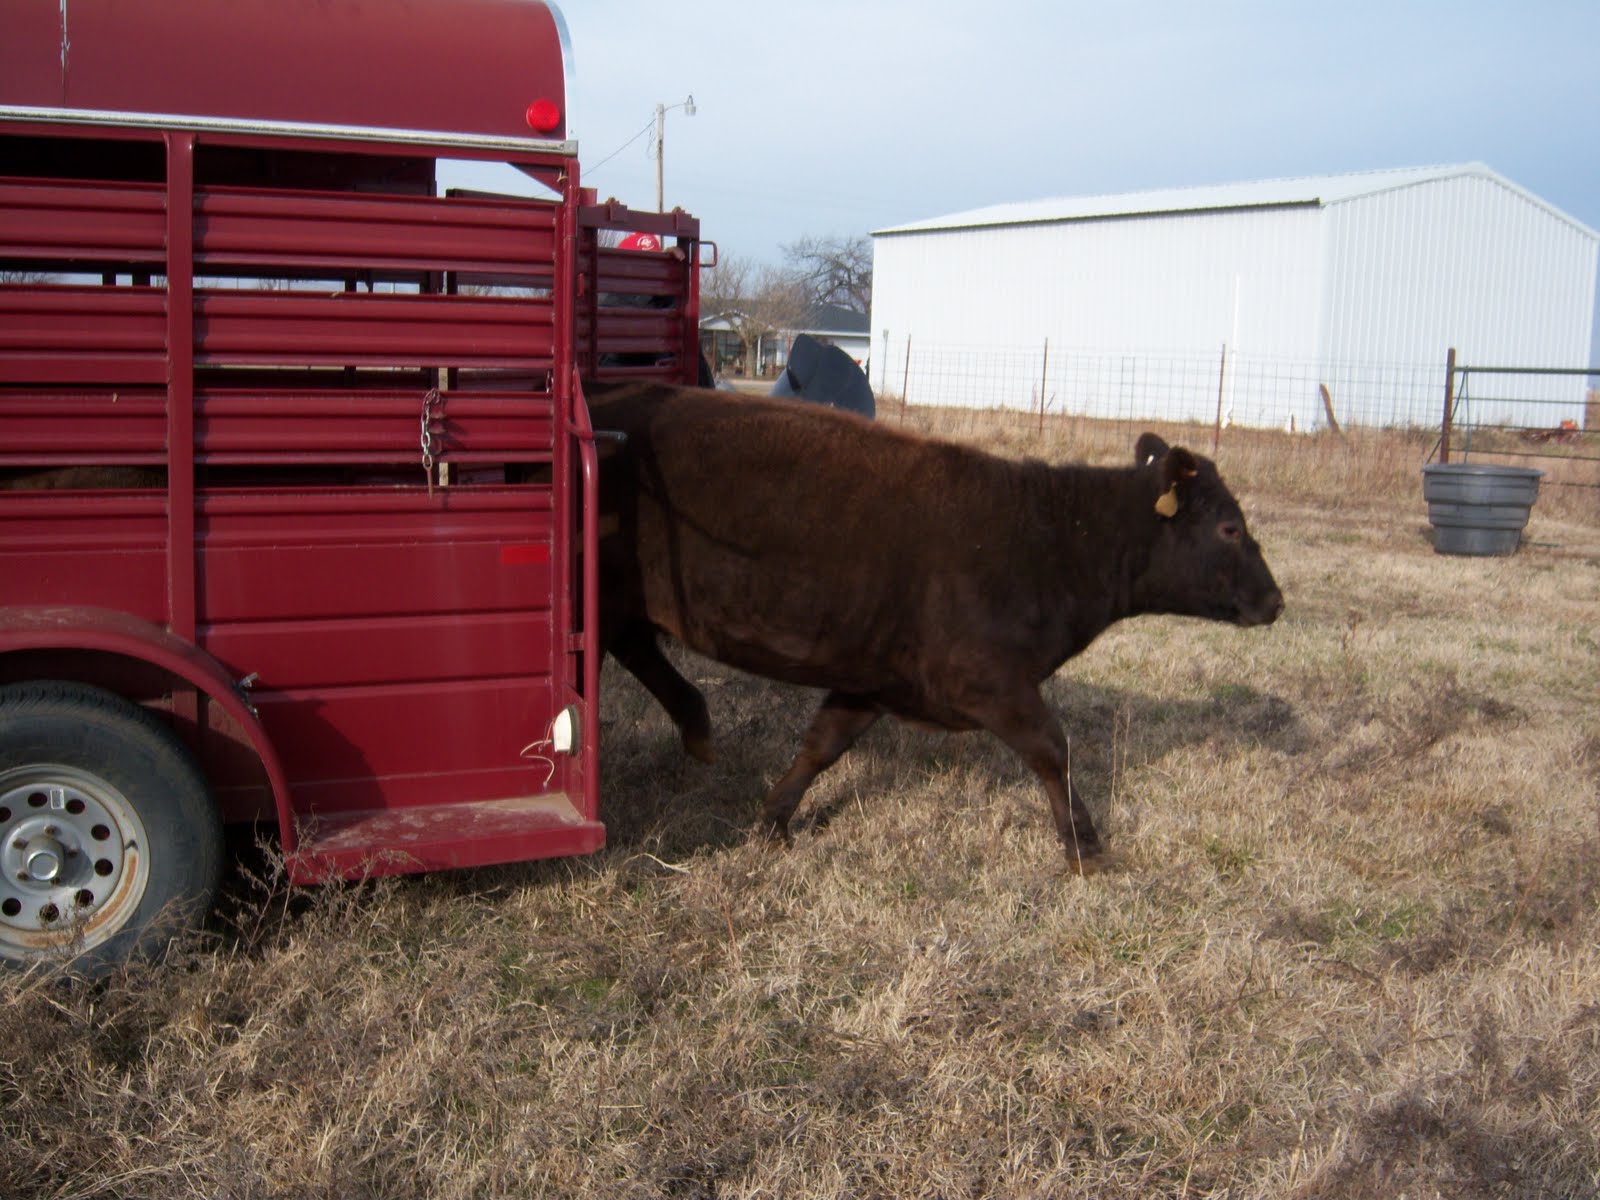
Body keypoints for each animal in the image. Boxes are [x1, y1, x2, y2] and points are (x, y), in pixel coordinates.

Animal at [588, 379, 1284, 868]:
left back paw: (697, 725)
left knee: (636, 647)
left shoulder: (874, 678)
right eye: (1230, 528)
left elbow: (822, 745)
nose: (1276, 601)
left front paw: (773, 821)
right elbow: (1052, 750)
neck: (1052, 542)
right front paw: (1085, 847)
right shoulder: (987, 680)